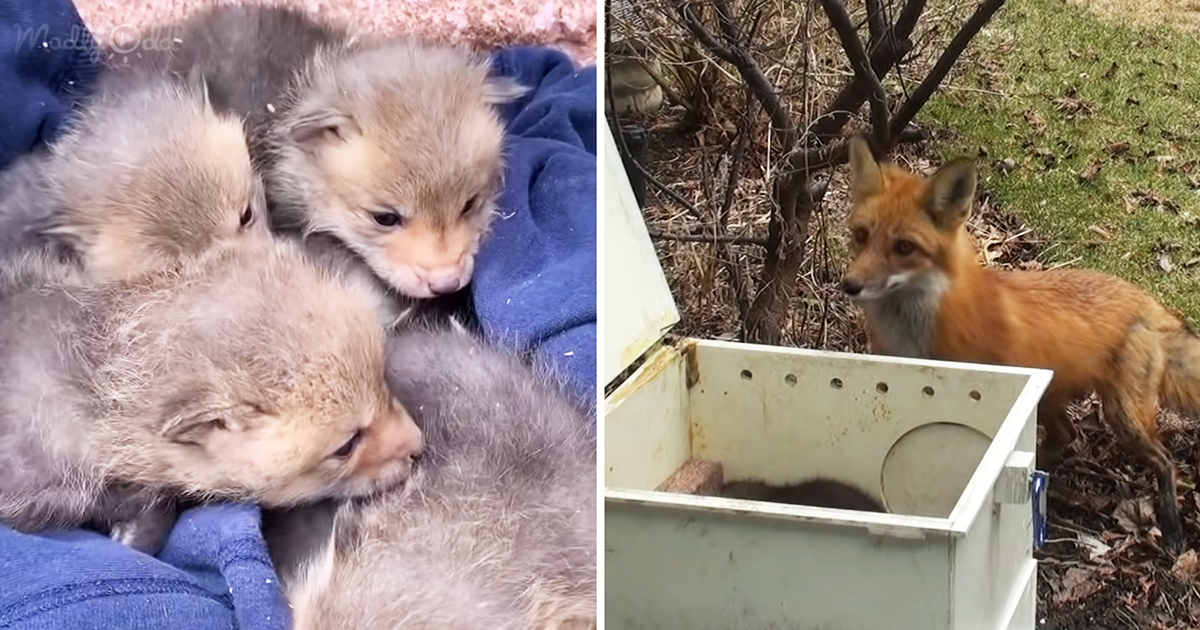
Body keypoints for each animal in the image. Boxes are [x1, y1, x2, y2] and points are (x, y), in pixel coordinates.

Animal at [840, 135, 1200, 554]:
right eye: (861, 236)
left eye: (904, 247)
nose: (850, 285)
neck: (918, 329)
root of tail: (1152, 303)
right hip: (1054, 401)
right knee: (1067, 436)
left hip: (1121, 416)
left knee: (1165, 460)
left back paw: (1171, 526)